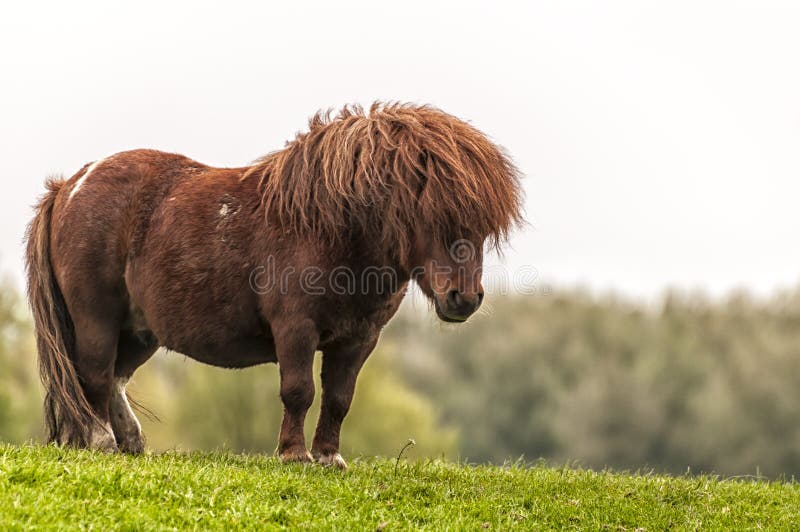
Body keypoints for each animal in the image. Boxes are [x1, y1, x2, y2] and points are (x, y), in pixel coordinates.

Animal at [25, 102, 522, 469]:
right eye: (435, 215)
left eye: (483, 227)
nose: (464, 299)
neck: (333, 231)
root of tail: (70, 185)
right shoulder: (295, 328)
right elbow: (298, 391)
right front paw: (294, 455)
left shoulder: (359, 338)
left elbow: (339, 398)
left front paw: (329, 457)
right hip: (97, 318)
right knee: (94, 374)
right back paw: (101, 441)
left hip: (140, 331)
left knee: (115, 378)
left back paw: (130, 442)